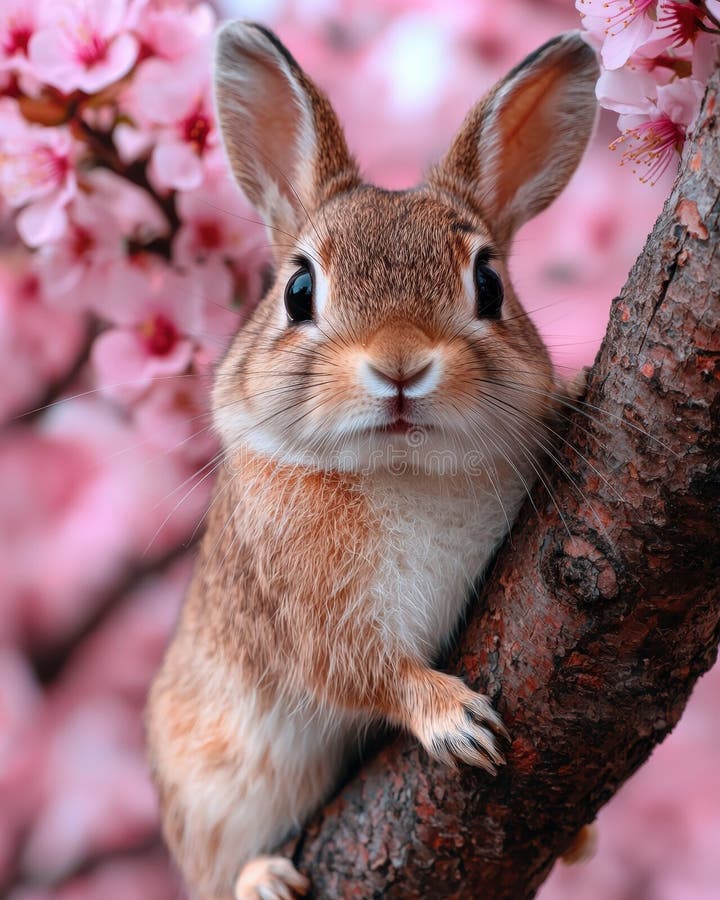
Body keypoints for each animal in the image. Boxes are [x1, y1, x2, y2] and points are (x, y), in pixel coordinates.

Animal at [146, 20, 598, 900]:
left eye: (490, 284)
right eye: (298, 290)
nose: (399, 365)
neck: (404, 468)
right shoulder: (316, 618)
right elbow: (371, 676)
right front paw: (456, 722)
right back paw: (262, 879)